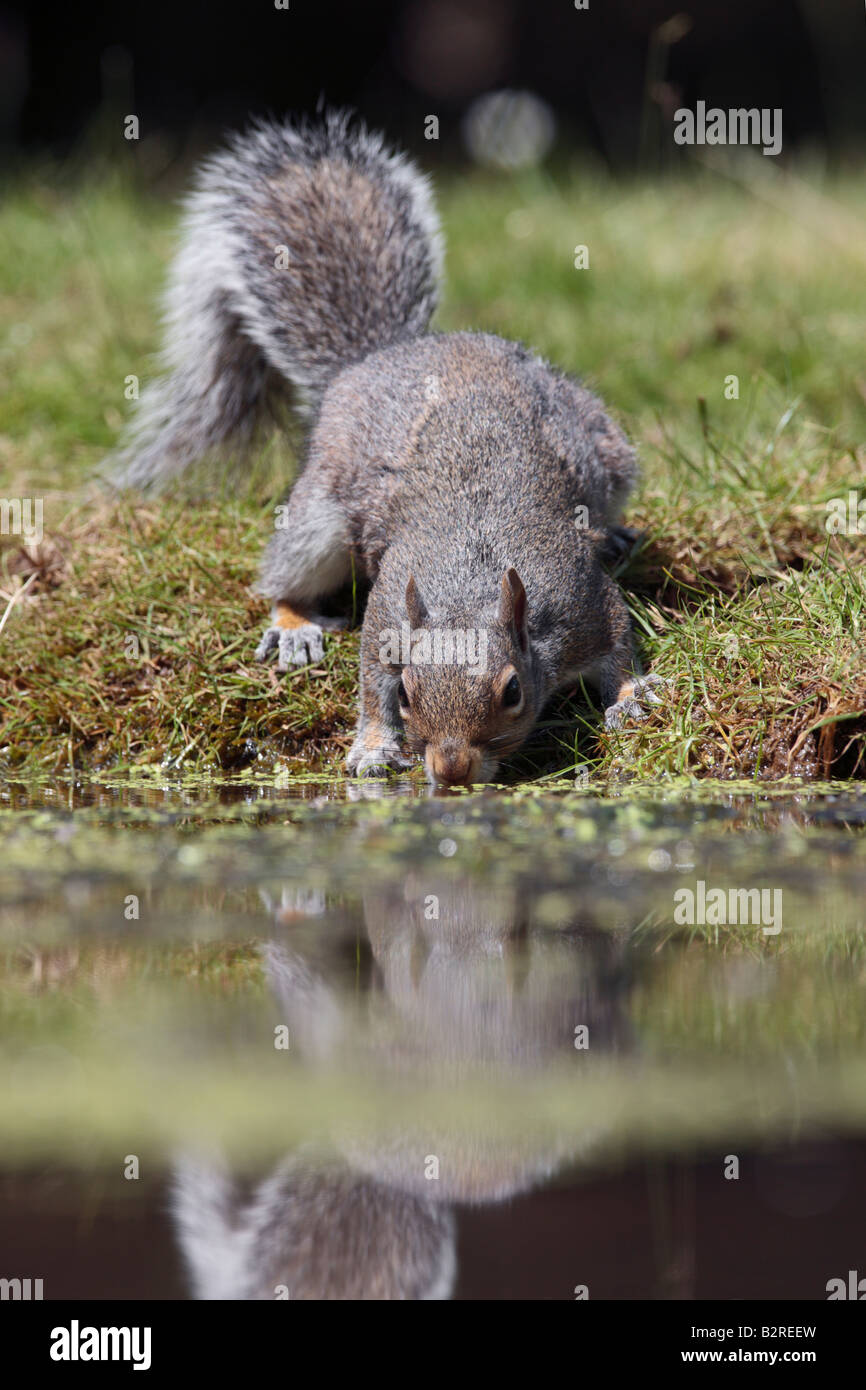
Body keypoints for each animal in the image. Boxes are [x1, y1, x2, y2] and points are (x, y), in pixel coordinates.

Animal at [109, 111, 664, 783]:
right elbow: (369, 679)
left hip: (609, 455)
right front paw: (374, 747)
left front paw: (632, 698)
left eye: (512, 691)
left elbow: (620, 645)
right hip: (318, 518)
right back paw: (295, 627)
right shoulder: (387, 620)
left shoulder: (581, 600)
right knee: (281, 578)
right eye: (408, 693)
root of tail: (379, 356)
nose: (451, 770)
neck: (469, 580)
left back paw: (616, 533)